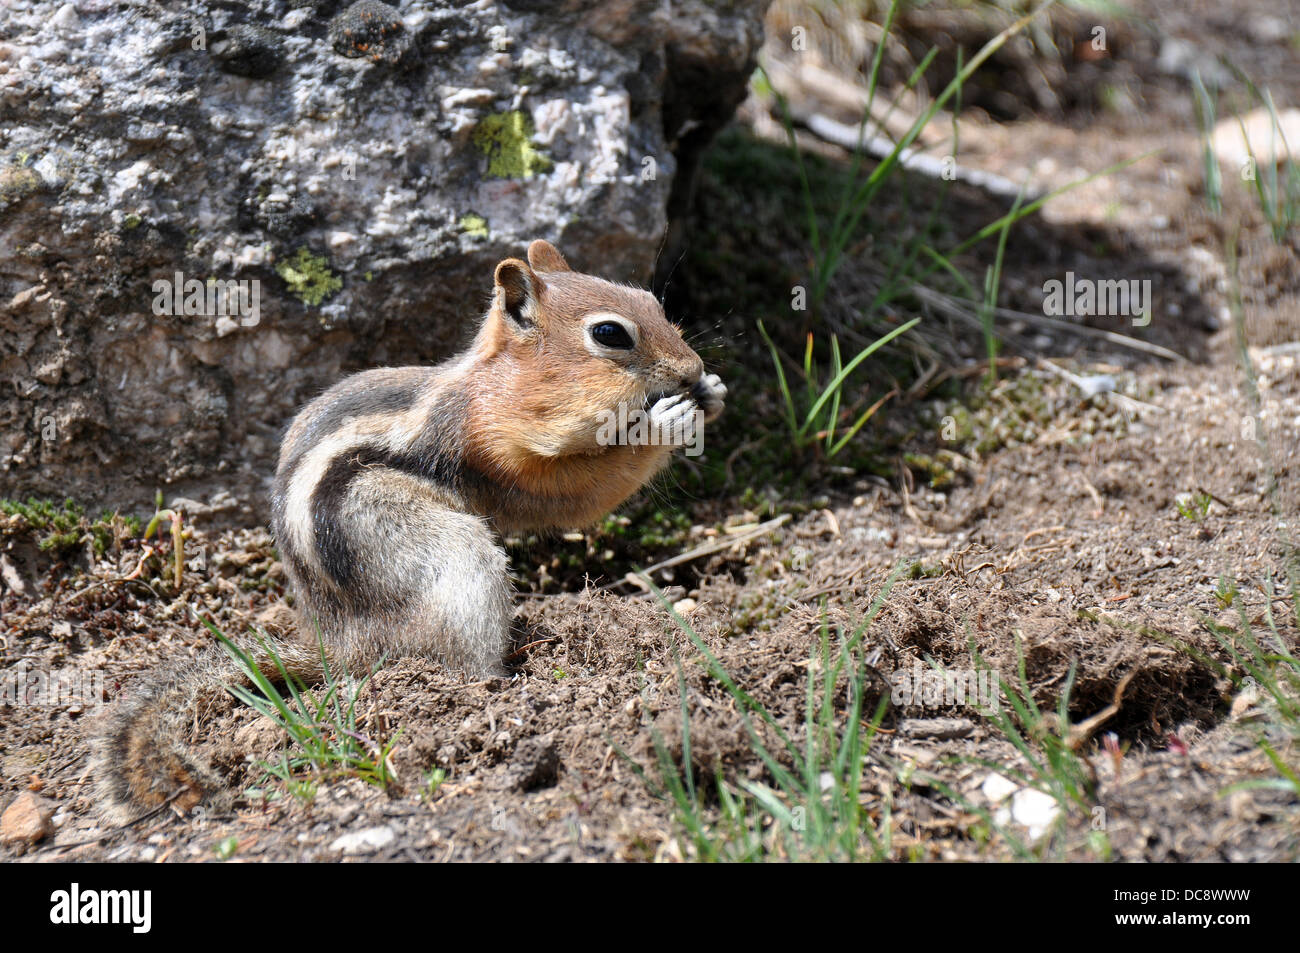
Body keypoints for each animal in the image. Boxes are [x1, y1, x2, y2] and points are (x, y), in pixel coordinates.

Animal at [92, 240, 725, 823]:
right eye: (610, 334)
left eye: (654, 305)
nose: (692, 370)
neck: (495, 387)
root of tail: (343, 641)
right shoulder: (496, 449)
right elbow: (574, 492)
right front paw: (668, 422)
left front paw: (712, 393)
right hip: (447, 554)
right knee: (457, 653)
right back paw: (505, 687)